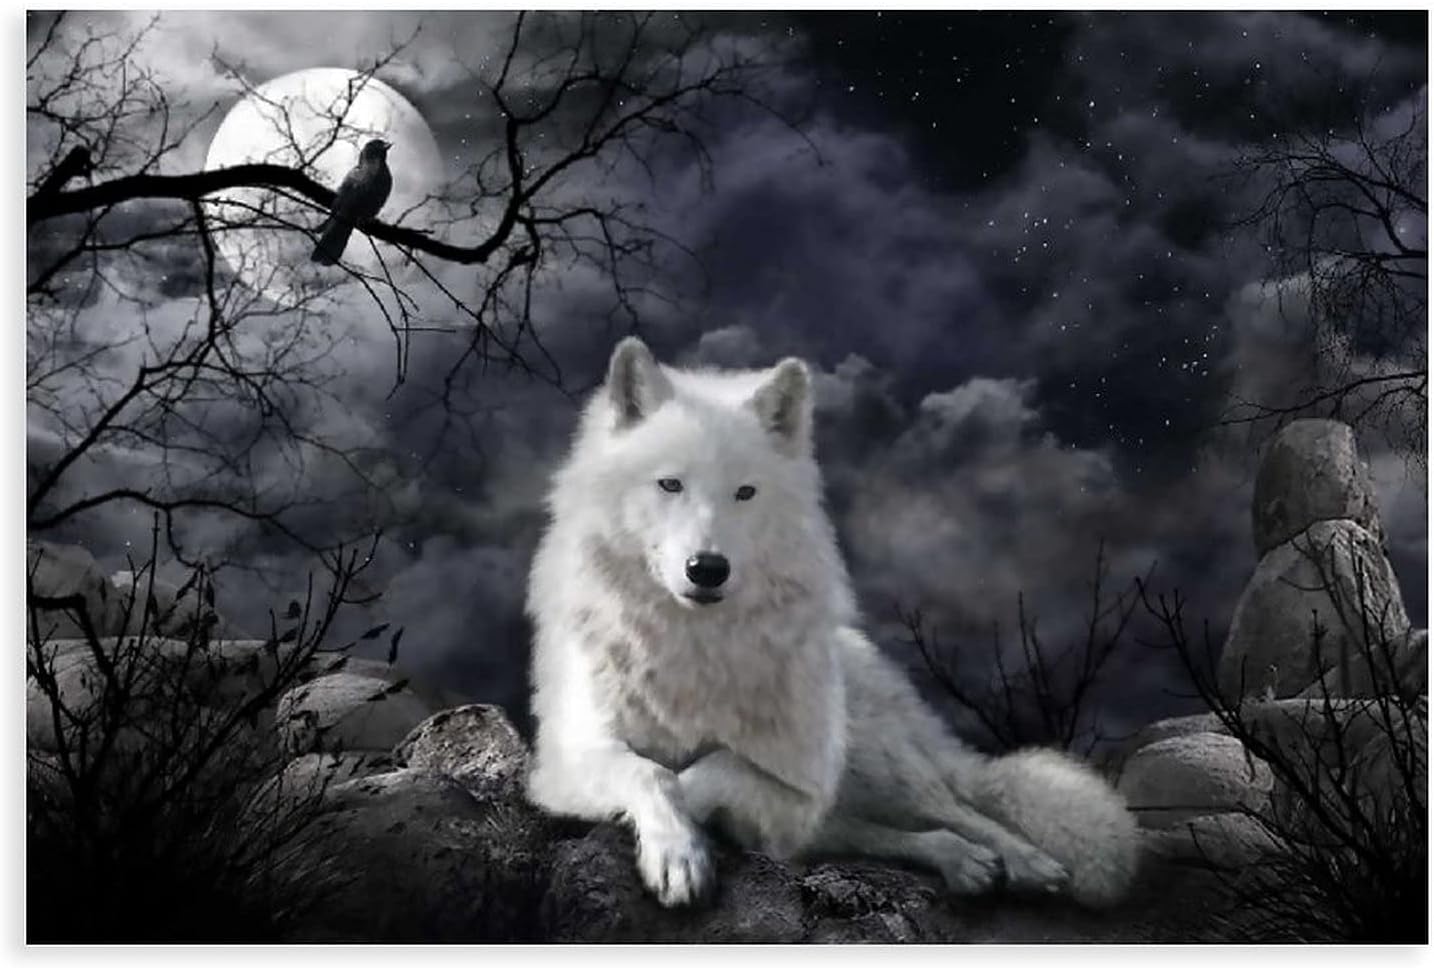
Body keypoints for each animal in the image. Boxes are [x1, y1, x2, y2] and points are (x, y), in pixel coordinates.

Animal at [525, 337, 1139, 909]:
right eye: (670, 484)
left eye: (745, 492)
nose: (708, 569)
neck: (692, 645)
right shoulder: (566, 761)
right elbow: (649, 772)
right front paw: (677, 854)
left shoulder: (801, 783)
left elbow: (714, 768)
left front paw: (692, 829)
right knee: (892, 833)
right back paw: (964, 862)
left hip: (881, 765)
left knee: (962, 807)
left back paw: (1029, 862)